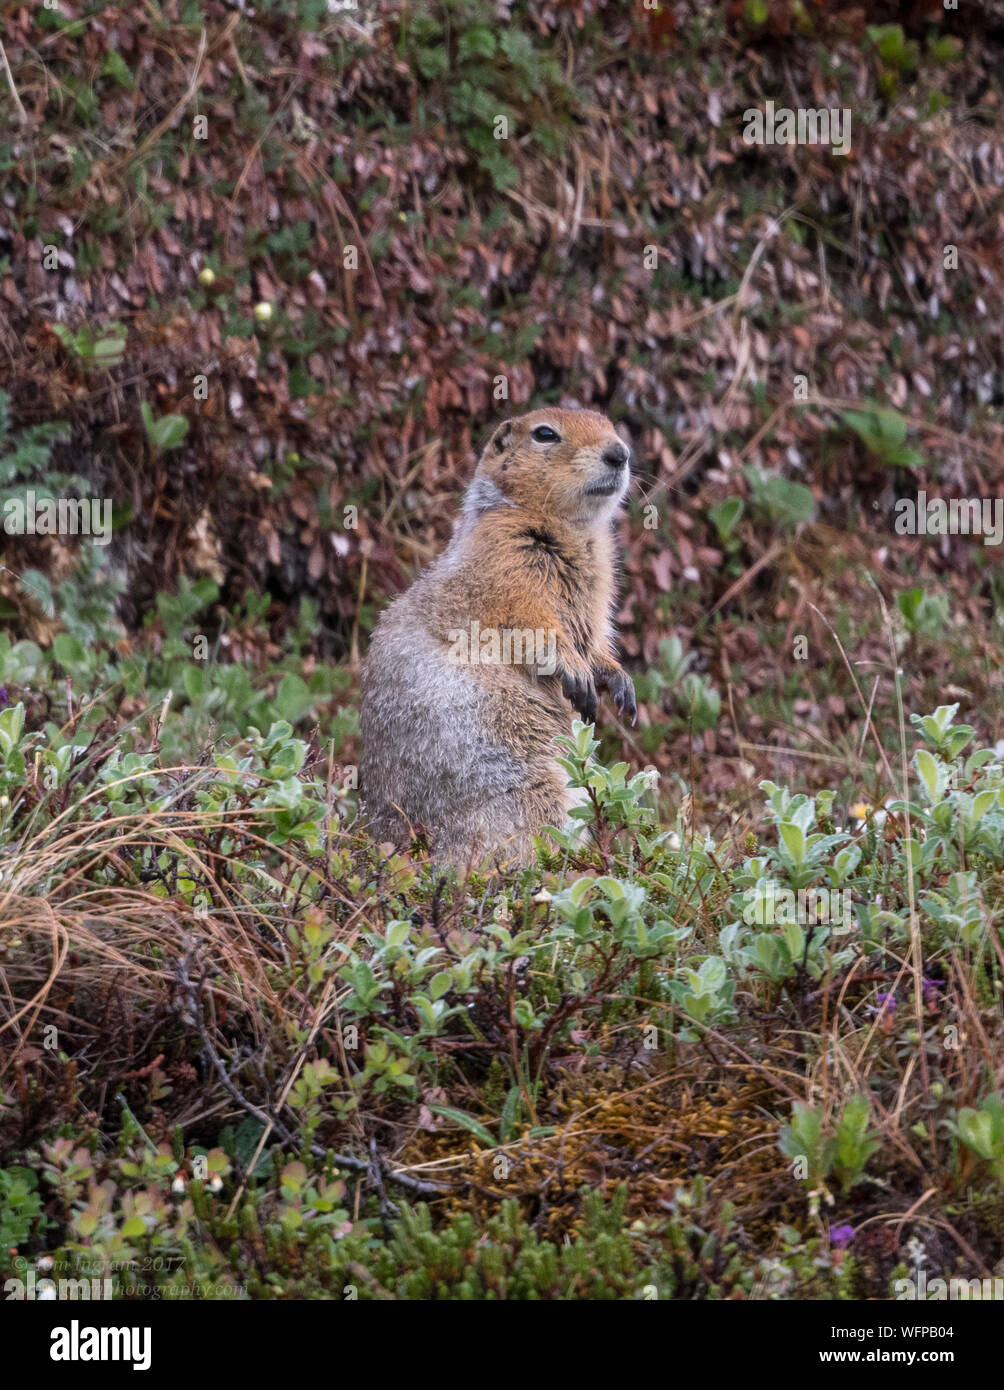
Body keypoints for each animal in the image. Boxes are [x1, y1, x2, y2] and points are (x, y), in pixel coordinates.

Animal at [360, 407, 636, 870]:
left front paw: (619, 681)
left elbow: (597, 637)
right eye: (545, 434)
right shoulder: (506, 564)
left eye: (610, 425)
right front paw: (576, 672)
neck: (571, 529)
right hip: (528, 782)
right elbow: (531, 625)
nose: (620, 453)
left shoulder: (599, 592)